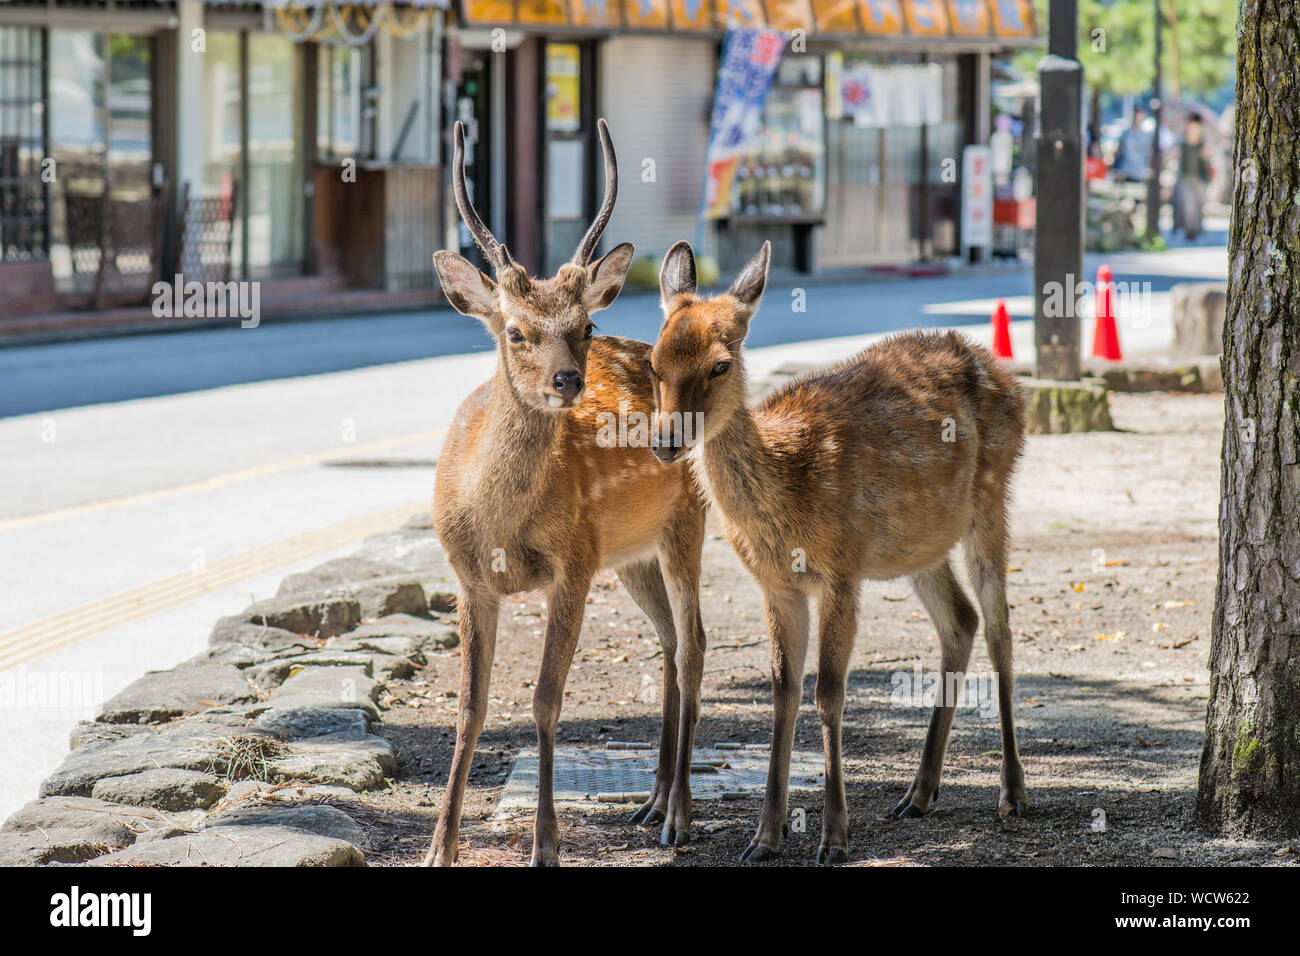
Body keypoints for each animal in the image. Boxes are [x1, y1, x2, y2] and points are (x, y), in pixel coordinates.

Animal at [422, 121, 709, 867]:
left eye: (584, 328)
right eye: (514, 330)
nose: (568, 380)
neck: (497, 524)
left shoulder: (573, 566)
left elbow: (546, 701)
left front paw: (545, 845)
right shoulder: (468, 579)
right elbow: (470, 708)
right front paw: (440, 846)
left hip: (687, 523)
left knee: (694, 643)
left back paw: (679, 814)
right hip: (632, 554)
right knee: (668, 641)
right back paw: (652, 799)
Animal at [646, 240, 1028, 864]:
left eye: (721, 364)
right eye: (654, 362)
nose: (665, 441)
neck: (789, 481)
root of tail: (1007, 376)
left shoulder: (842, 570)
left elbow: (828, 693)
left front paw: (834, 837)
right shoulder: (776, 585)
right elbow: (783, 691)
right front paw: (764, 837)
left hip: (993, 497)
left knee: (1000, 628)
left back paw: (1012, 792)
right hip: (919, 544)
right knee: (961, 620)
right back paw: (917, 794)